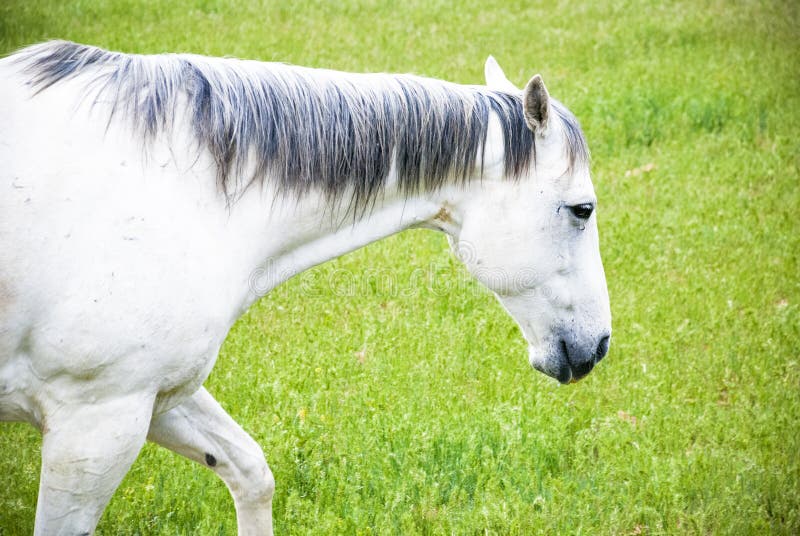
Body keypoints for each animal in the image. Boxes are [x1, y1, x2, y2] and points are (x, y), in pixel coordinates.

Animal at [0, 41, 611, 535]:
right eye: (582, 209)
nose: (600, 345)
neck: (181, 194)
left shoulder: (153, 398)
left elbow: (251, 472)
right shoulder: (95, 422)